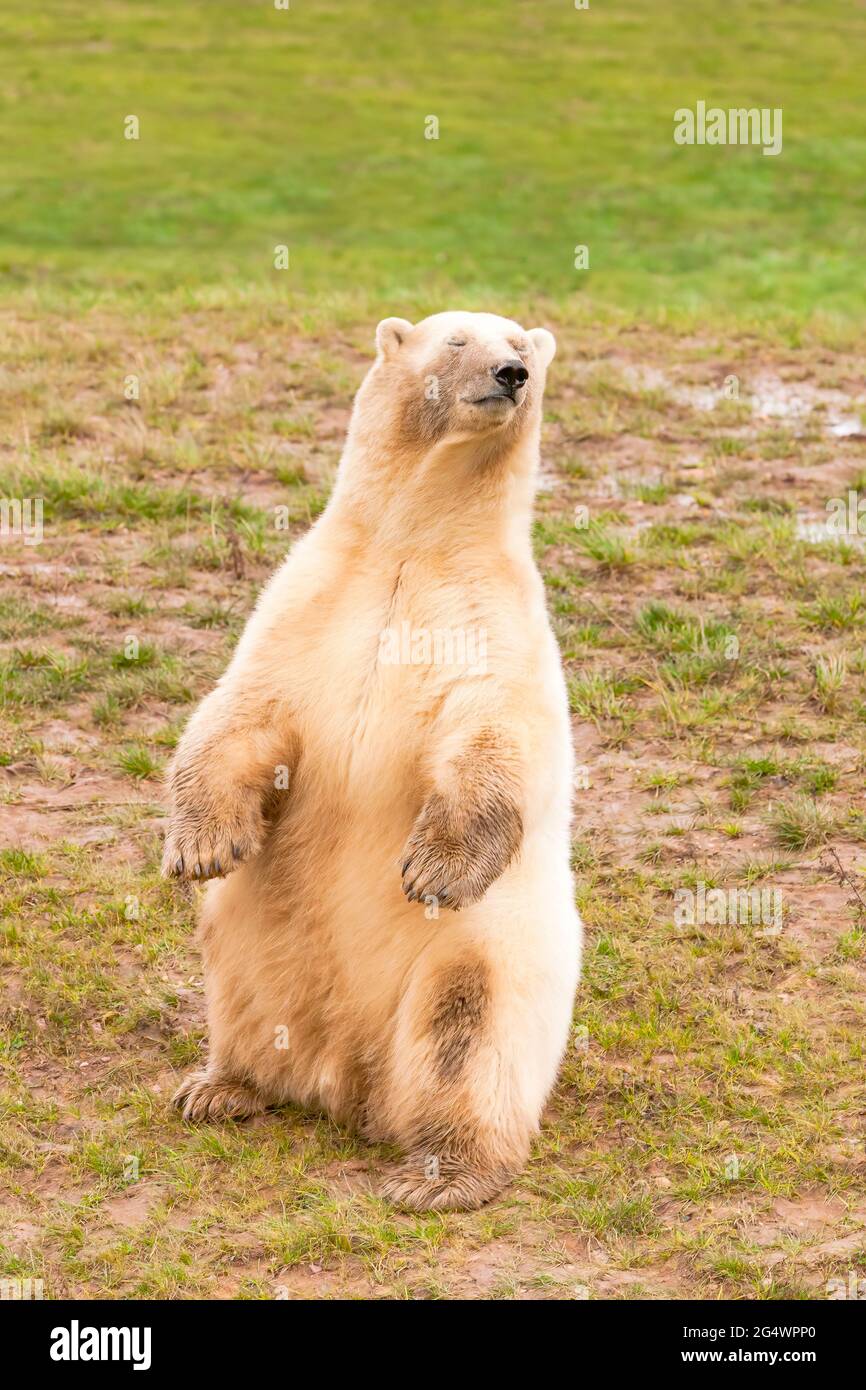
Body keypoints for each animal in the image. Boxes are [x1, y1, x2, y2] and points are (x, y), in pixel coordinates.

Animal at [162, 311, 582, 1211]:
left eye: (521, 348)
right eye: (458, 339)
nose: (510, 374)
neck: (415, 543)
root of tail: (346, 1080)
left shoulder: (492, 628)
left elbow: (494, 738)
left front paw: (436, 867)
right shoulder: (307, 604)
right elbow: (243, 710)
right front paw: (201, 845)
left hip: (486, 952)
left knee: (465, 1033)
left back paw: (442, 1173)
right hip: (257, 932)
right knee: (239, 983)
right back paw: (220, 1087)